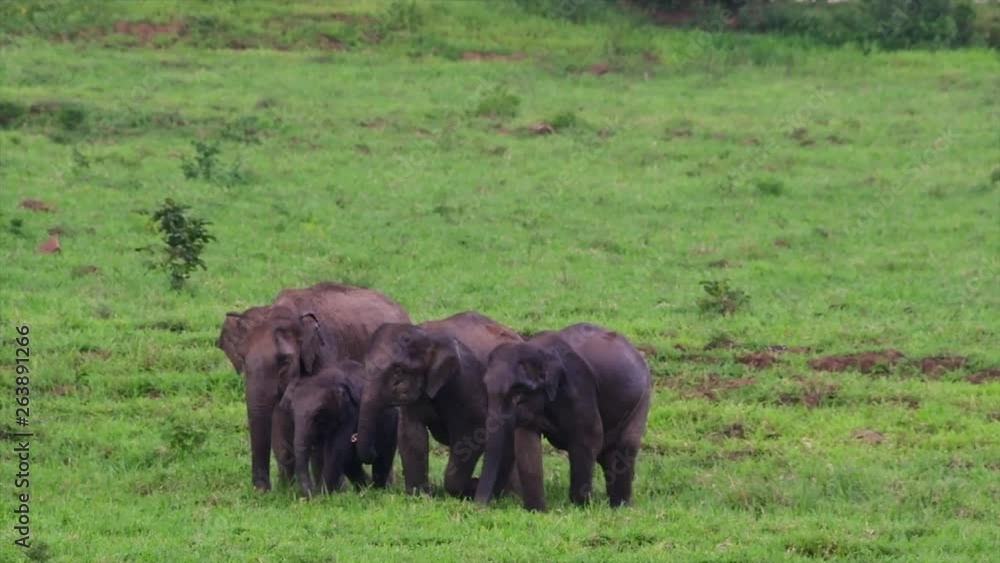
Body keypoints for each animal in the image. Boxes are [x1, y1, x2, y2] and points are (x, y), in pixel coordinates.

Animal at [277, 360, 398, 498]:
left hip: (391, 422)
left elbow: (334, 450)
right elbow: (320, 453)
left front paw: (322, 496)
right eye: (291, 411)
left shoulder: (349, 413)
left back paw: (379, 491)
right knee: (352, 464)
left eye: (318, 412)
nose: (308, 496)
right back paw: (365, 490)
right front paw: (320, 495)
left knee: (382, 460)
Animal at [354, 311, 523, 498]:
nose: (374, 453)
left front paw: (469, 487)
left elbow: (472, 433)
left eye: (398, 370)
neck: (426, 335)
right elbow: (411, 434)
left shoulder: (466, 380)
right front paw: (419, 495)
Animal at [474, 323, 652, 512]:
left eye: (519, 393)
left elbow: (589, 438)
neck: (539, 350)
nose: (478, 507)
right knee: (608, 455)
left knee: (624, 447)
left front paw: (580, 507)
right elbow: (526, 443)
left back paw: (620, 506)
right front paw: (537, 511)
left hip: (641, 402)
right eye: (485, 388)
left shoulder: (579, 387)